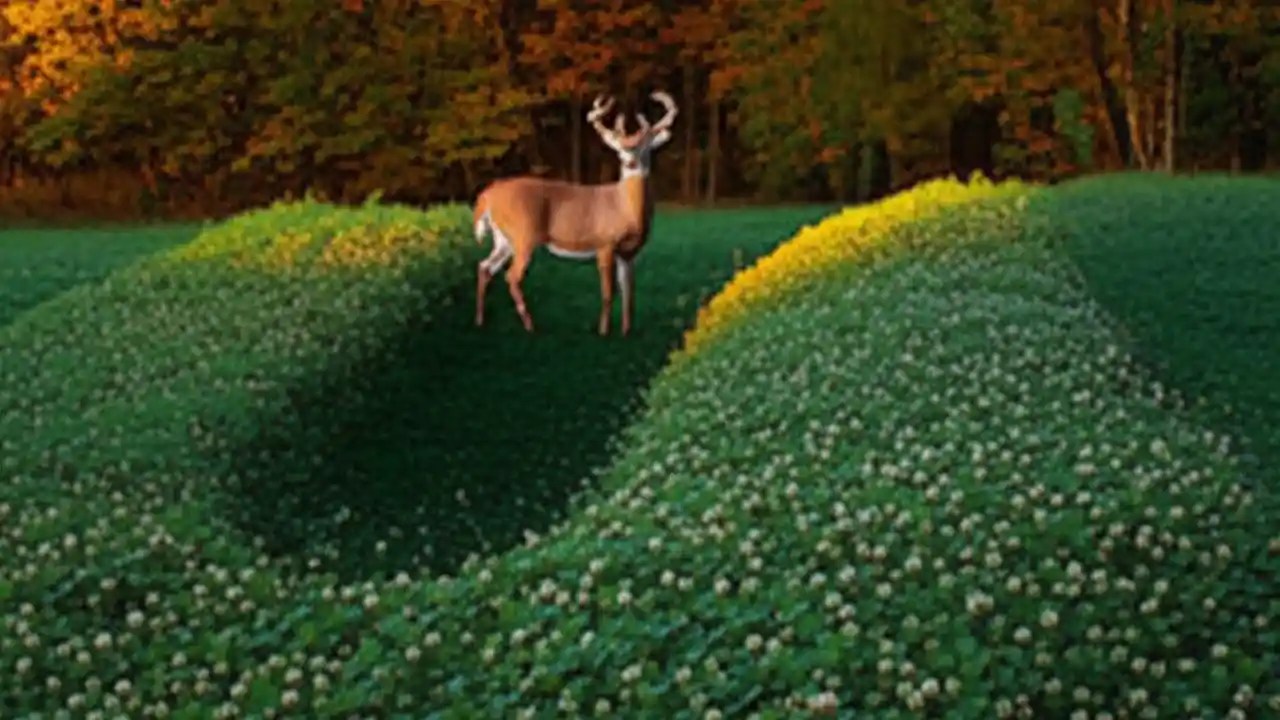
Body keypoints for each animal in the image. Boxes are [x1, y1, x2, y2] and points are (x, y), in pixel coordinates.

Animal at [471, 90, 678, 336]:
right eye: (619, 148)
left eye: (646, 146)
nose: (629, 162)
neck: (625, 209)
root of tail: (487, 195)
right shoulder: (605, 243)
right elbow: (608, 293)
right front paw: (603, 332)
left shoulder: (628, 253)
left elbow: (629, 293)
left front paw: (626, 332)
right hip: (523, 235)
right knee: (511, 276)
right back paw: (531, 326)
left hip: (503, 238)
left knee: (484, 267)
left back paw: (481, 320)